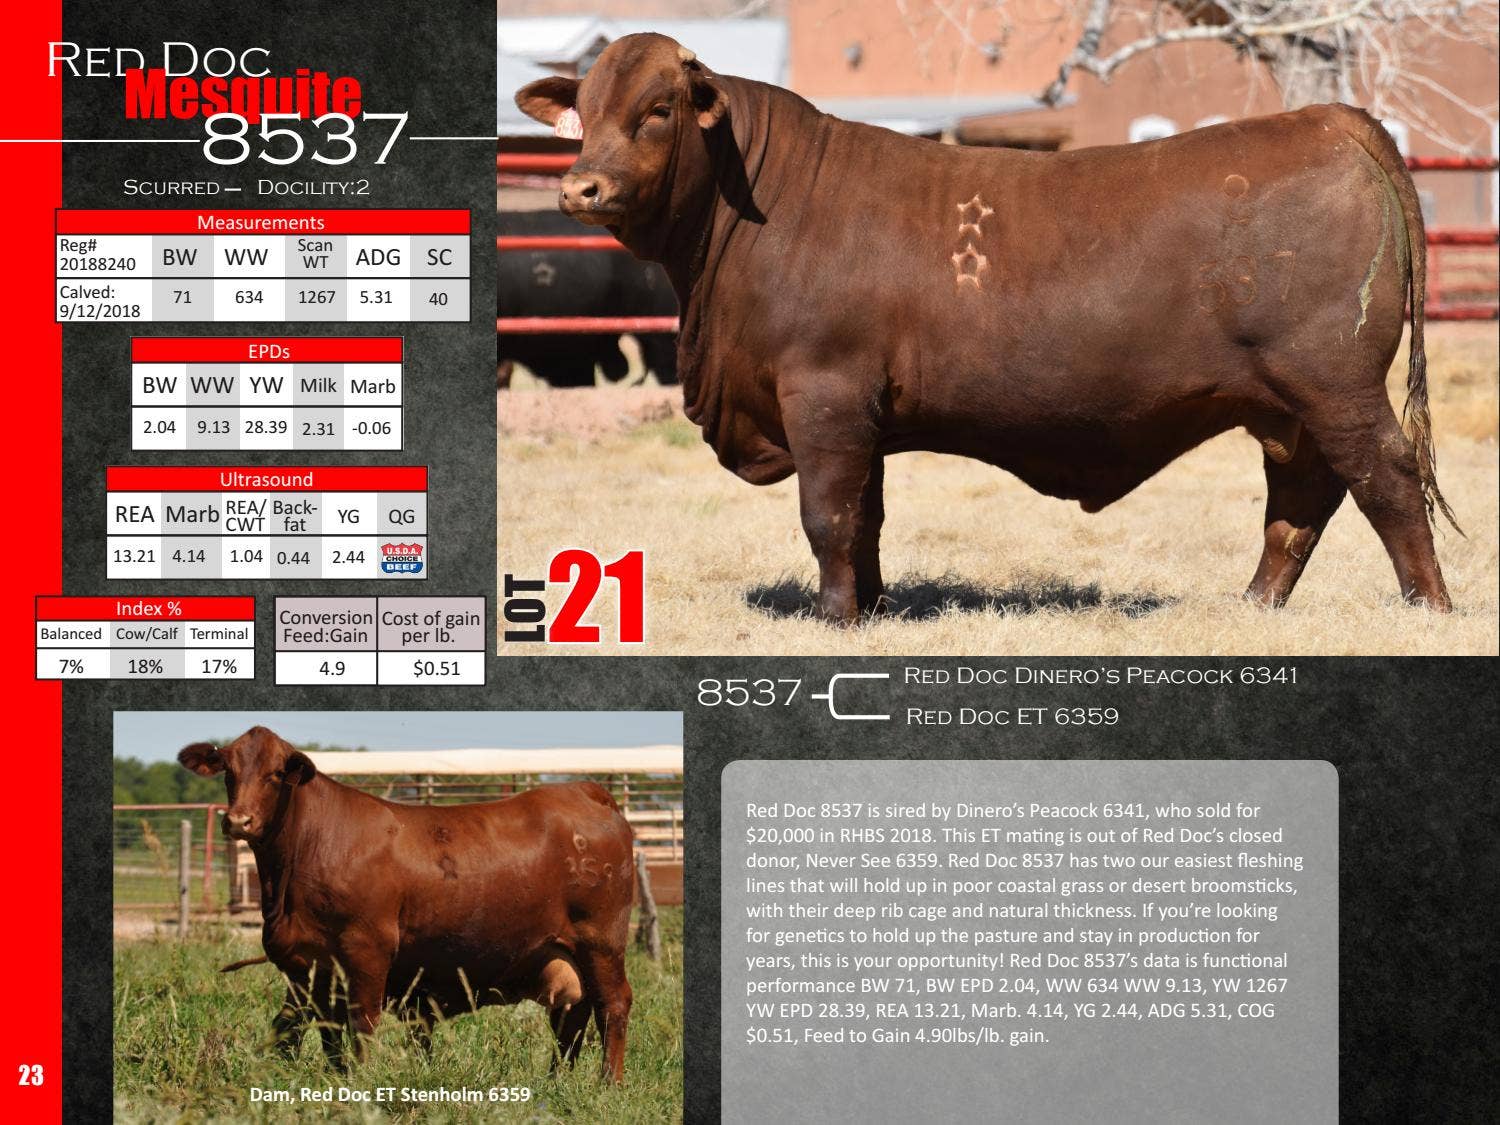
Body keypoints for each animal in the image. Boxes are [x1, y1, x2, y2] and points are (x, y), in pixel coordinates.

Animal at [177, 727, 635, 1082]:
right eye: (229, 771)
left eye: (276, 774)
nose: (239, 821)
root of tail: (584, 790)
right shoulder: (305, 965)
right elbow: (300, 1030)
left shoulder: (367, 952)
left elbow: (360, 1026)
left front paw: (356, 1086)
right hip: (566, 955)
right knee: (572, 1014)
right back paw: (556, 1082)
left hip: (601, 942)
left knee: (612, 1005)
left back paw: (606, 1084)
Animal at [515, 33, 1459, 624]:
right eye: (584, 111)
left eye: (657, 109)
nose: (580, 187)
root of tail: (1328, 119)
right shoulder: (864, 417)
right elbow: (867, 517)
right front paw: (875, 608)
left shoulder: (823, 395)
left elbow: (827, 515)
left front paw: (833, 618)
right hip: (1287, 404)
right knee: (1301, 494)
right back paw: (1256, 603)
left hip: (1334, 382)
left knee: (1386, 477)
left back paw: (1431, 606)